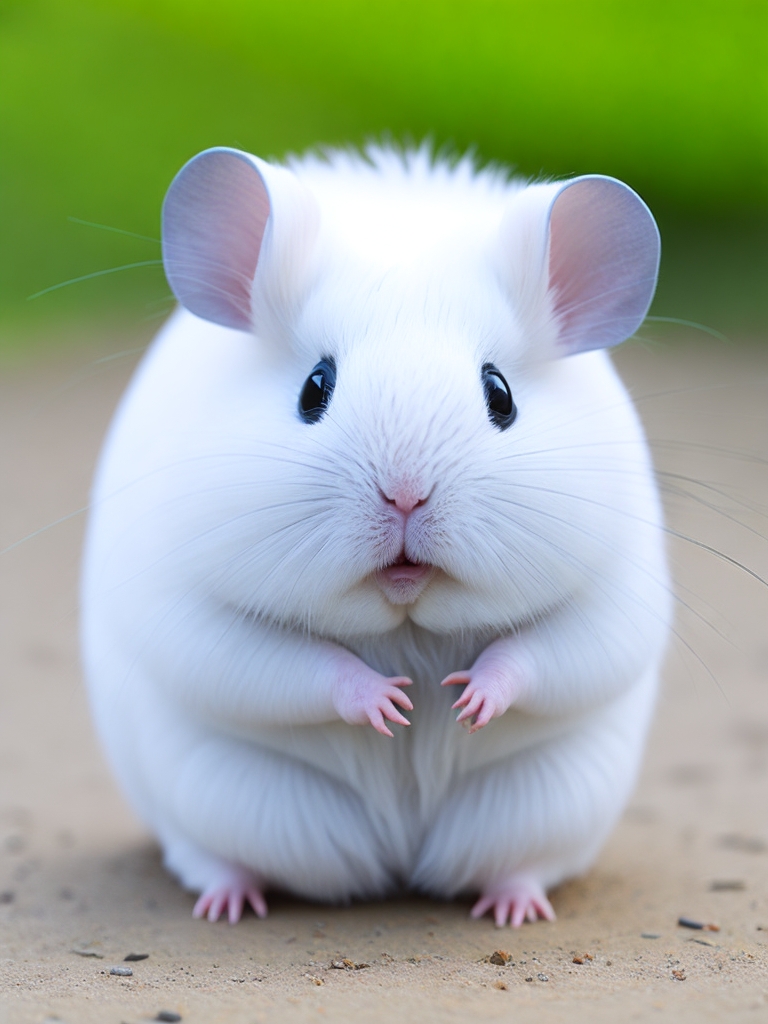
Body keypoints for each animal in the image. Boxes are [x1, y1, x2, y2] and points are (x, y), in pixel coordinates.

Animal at [80, 144, 671, 927]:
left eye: (501, 395)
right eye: (314, 388)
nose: (406, 494)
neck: (406, 618)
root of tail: (398, 863)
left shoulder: (614, 600)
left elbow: (545, 655)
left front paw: (468, 701)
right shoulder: (191, 613)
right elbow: (286, 666)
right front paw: (390, 705)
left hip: (549, 806)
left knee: (525, 863)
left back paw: (514, 907)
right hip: (213, 799)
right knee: (210, 856)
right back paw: (228, 901)